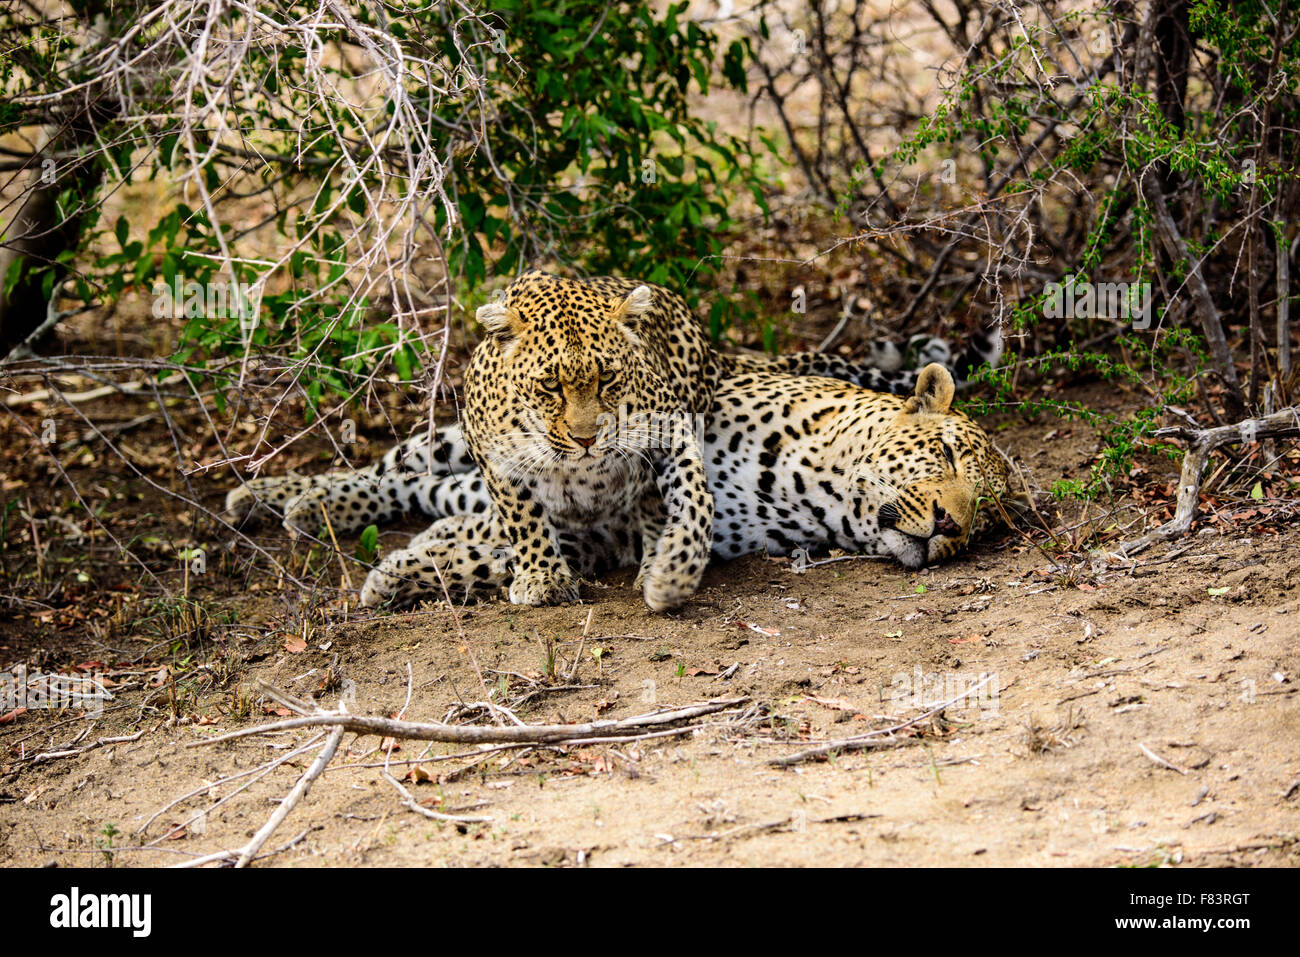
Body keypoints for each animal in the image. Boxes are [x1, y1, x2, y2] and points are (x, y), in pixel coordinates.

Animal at [225, 271, 1005, 610]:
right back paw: (277, 497)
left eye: (988, 520)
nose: (951, 526)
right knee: (390, 471)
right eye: (946, 454)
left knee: (425, 493)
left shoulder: (605, 533)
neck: (819, 490)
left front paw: (406, 569)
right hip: (453, 445)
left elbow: (480, 550)